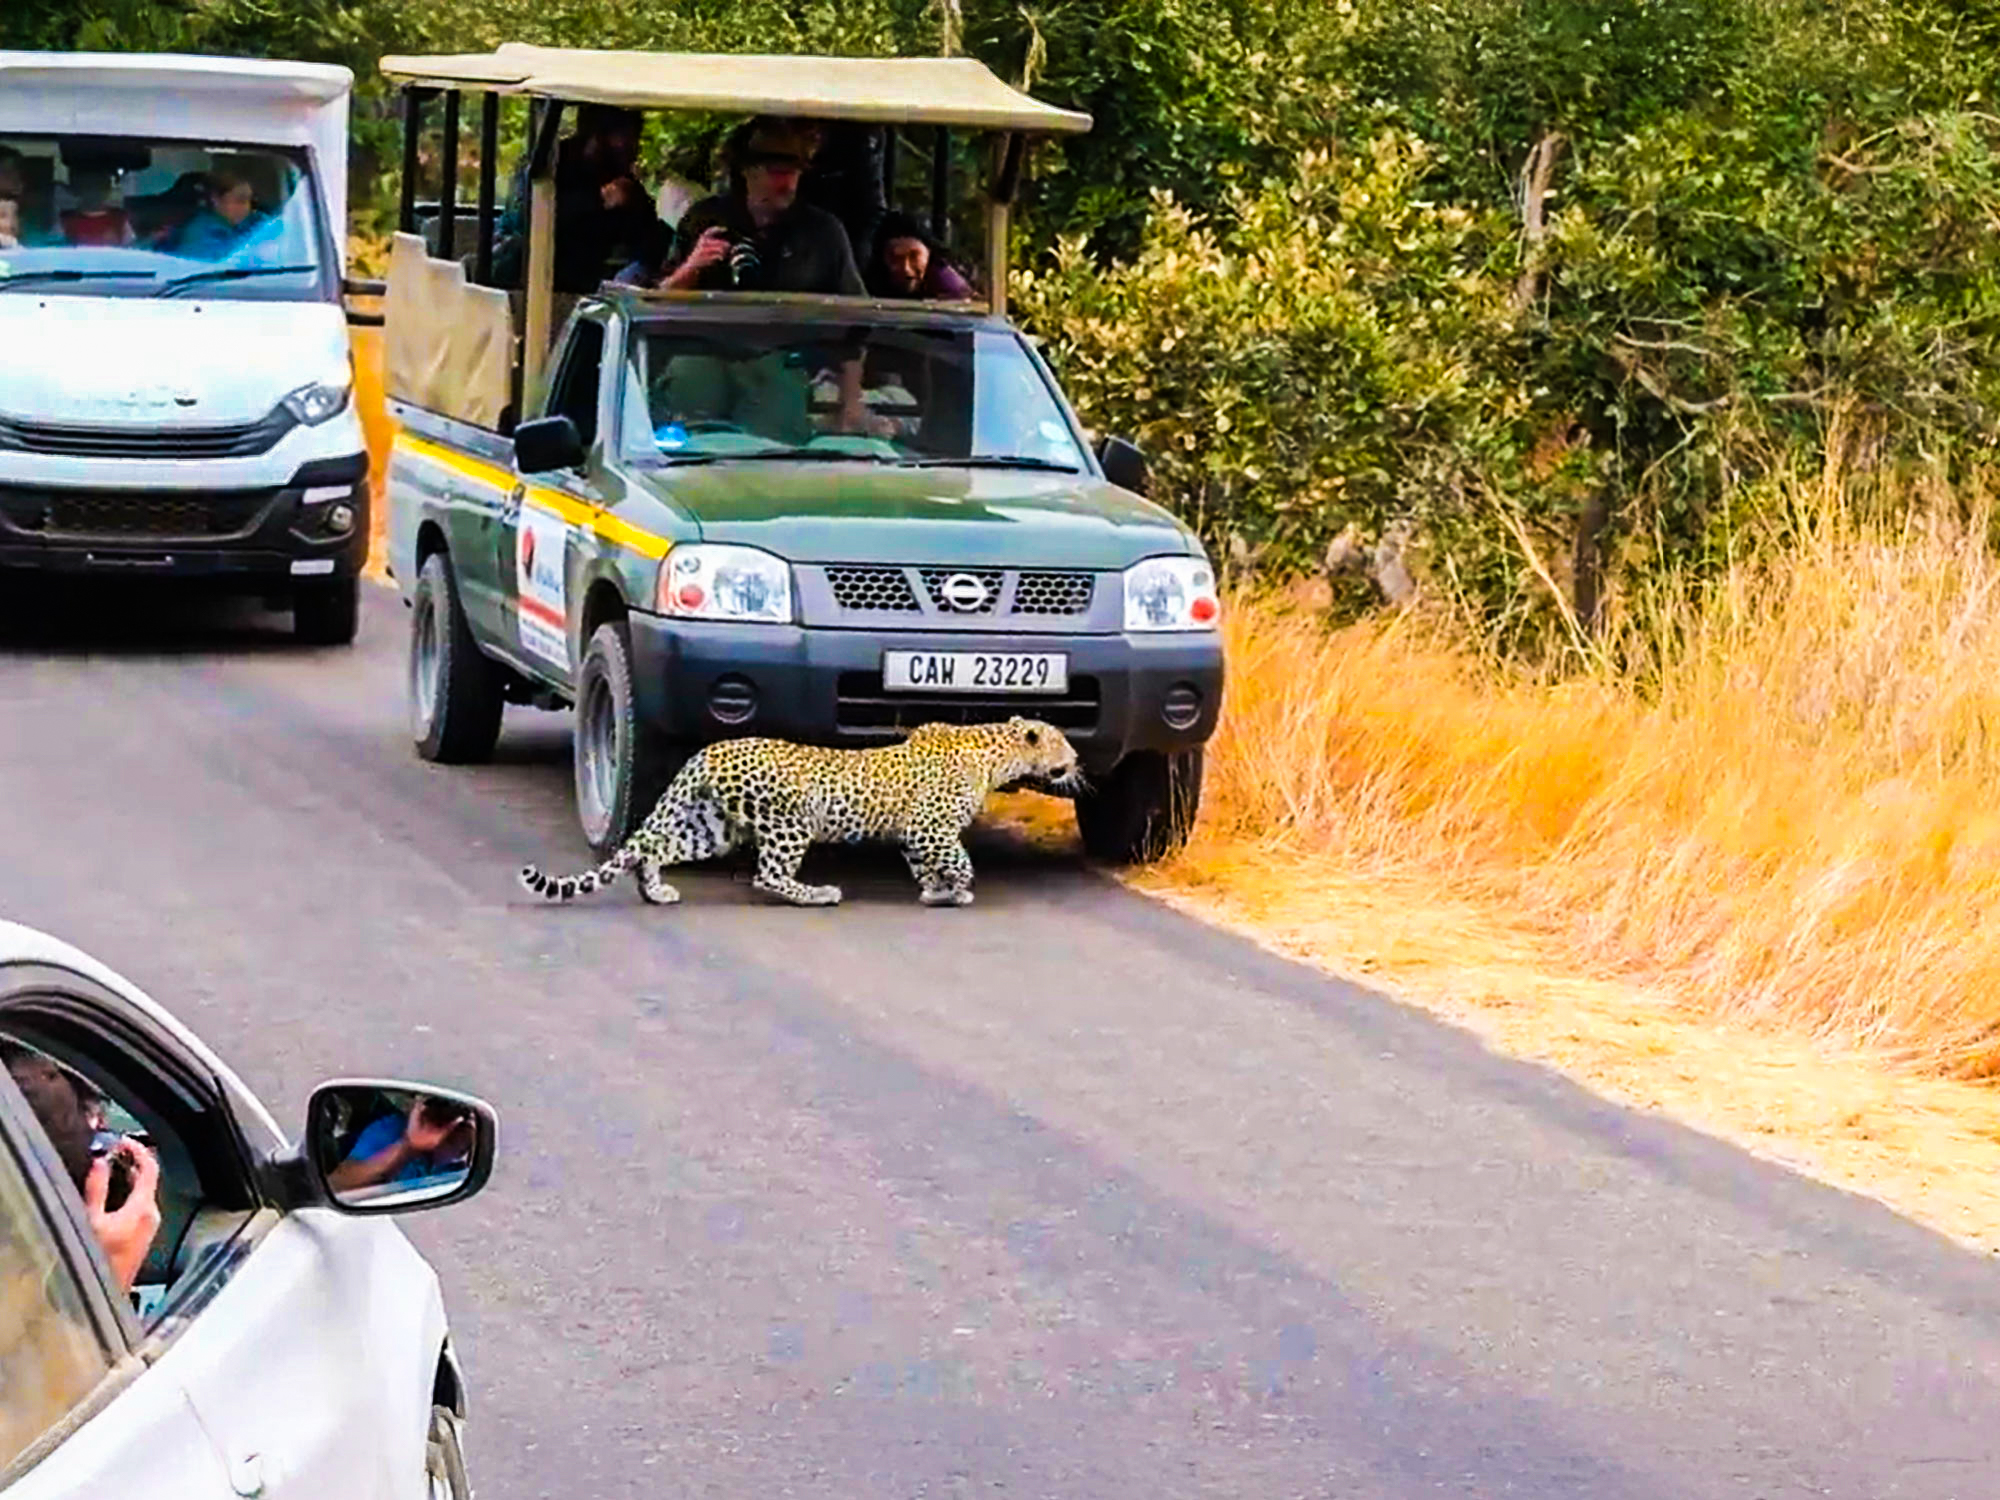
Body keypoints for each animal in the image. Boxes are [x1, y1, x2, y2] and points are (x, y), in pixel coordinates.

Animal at [517, 716, 1084, 909]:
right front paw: (956, 890)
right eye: (1065, 743)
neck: (996, 753)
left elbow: (928, 868)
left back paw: (656, 892)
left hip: (715, 824)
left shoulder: (916, 836)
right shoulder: (931, 829)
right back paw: (820, 893)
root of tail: (711, 750)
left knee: (656, 849)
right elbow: (962, 862)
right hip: (788, 823)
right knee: (766, 876)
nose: (1077, 760)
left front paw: (936, 892)